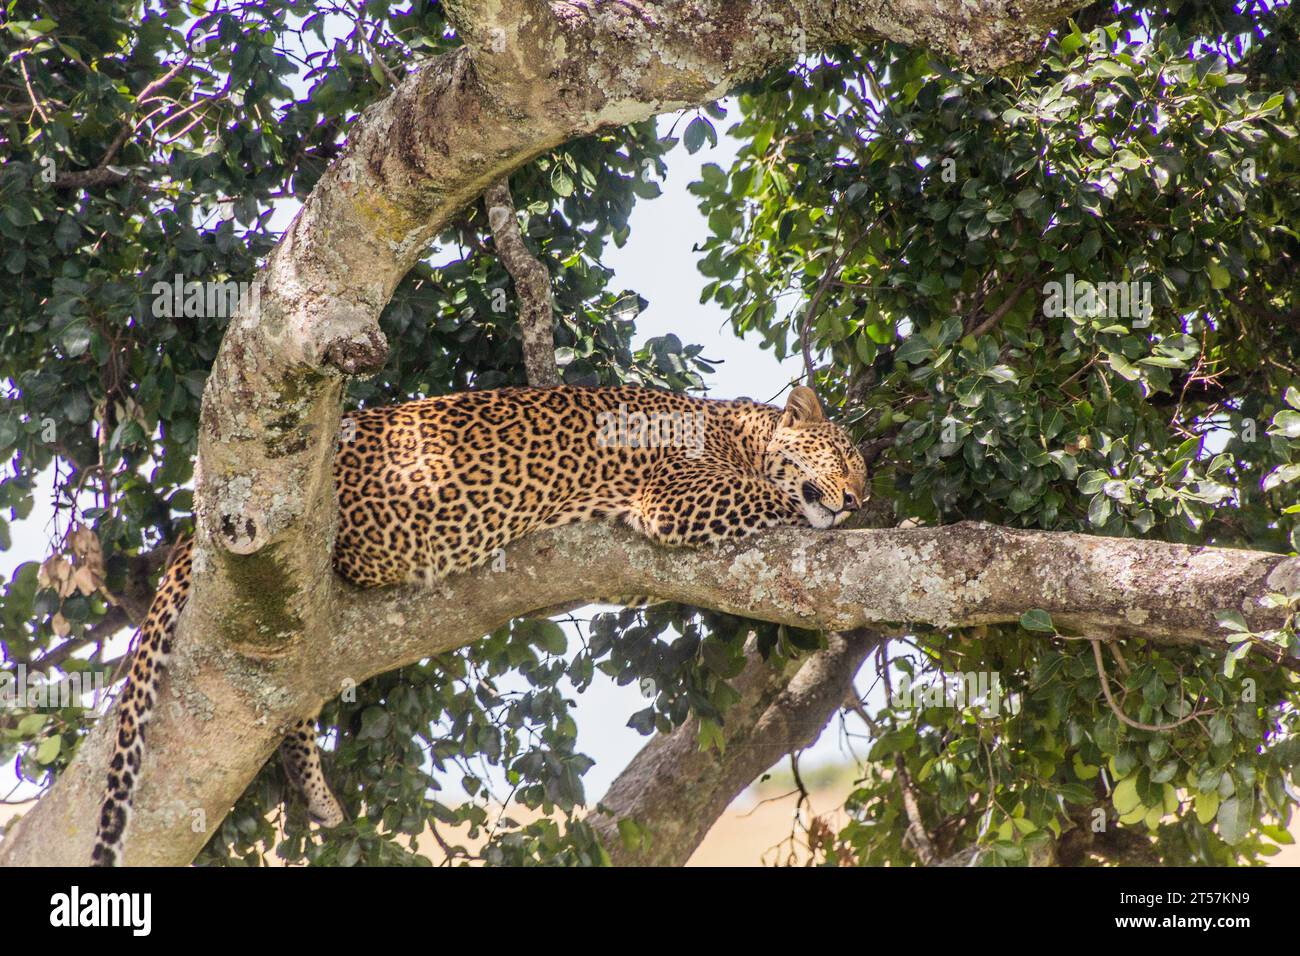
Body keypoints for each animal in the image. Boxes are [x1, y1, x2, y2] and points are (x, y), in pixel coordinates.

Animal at [91, 384, 866, 865]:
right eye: (846, 456)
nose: (860, 498)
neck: (741, 431)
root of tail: (198, 529)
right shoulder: (680, 496)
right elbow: (775, 498)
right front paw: (841, 514)